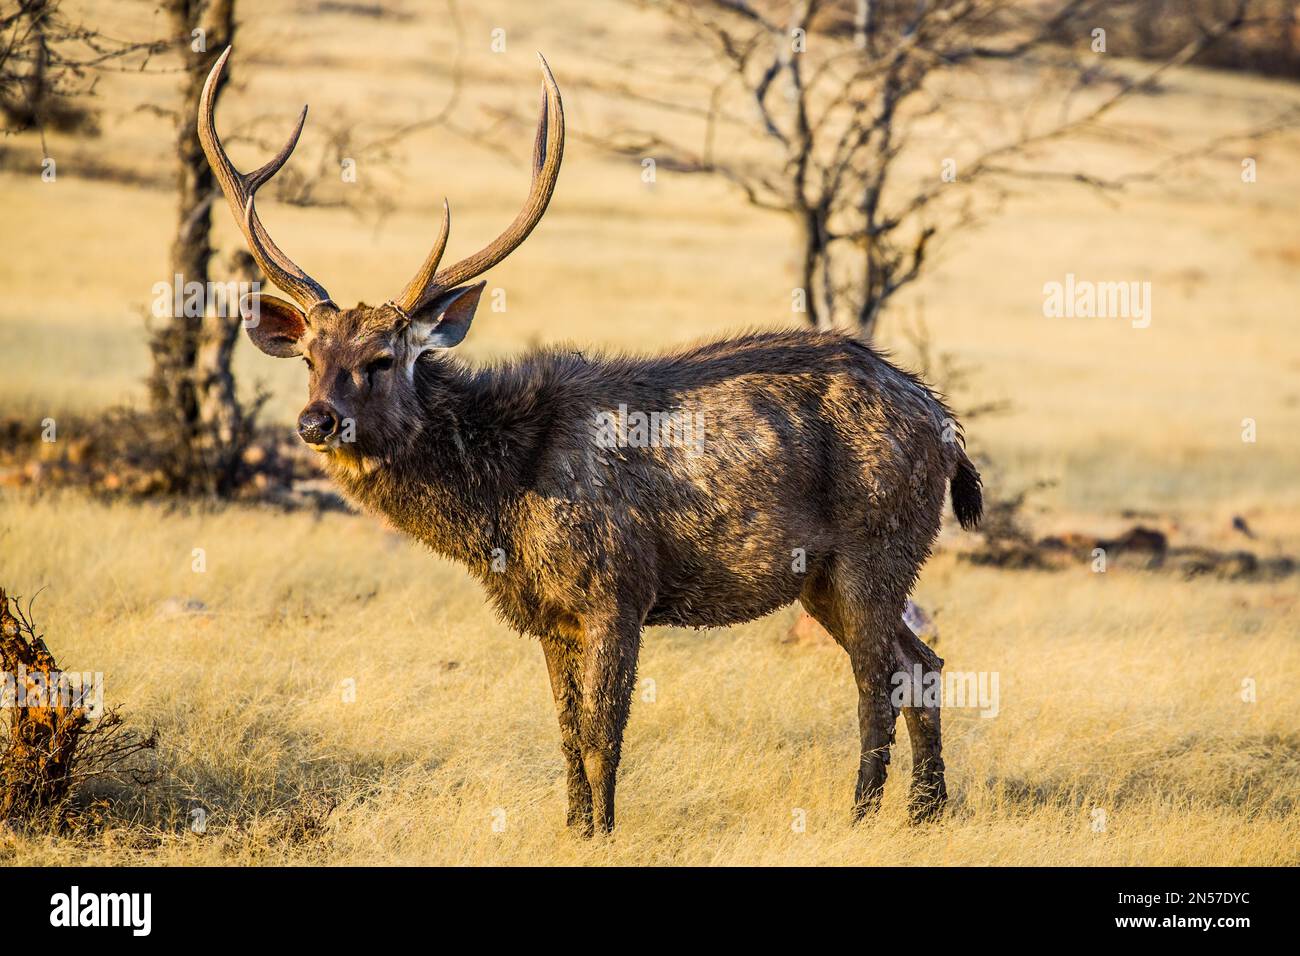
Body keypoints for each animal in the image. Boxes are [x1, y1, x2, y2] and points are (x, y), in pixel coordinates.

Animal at [198, 47, 981, 835]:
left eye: (383, 358)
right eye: (309, 358)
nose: (316, 422)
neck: (504, 501)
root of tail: (948, 428)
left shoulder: (617, 588)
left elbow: (605, 732)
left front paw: (604, 831)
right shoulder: (551, 612)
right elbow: (568, 733)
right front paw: (575, 826)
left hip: (874, 548)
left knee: (879, 681)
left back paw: (863, 813)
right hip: (826, 578)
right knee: (925, 663)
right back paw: (927, 809)